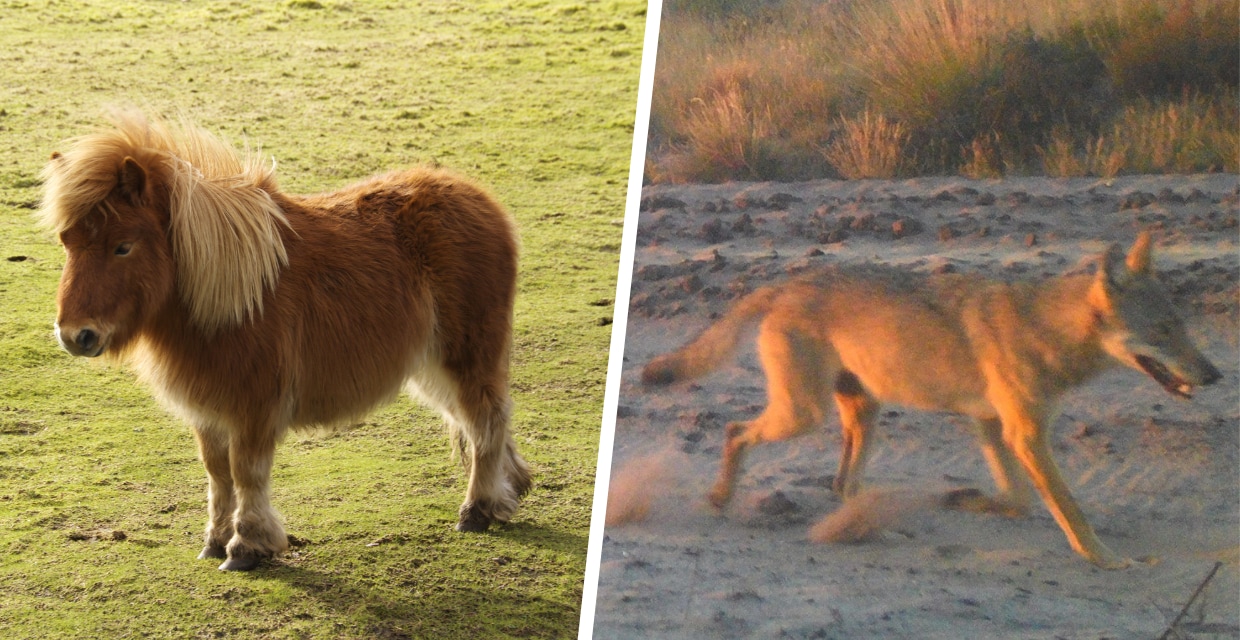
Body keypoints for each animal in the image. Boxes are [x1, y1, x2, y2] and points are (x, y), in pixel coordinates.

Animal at [39, 110, 531, 571]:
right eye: (67, 241)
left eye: (123, 246)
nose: (75, 335)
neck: (232, 294)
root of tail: (481, 199)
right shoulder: (209, 408)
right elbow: (217, 472)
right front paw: (215, 539)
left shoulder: (253, 405)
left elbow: (246, 472)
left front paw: (247, 545)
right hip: (430, 364)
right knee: (472, 418)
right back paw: (511, 488)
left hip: (467, 354)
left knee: (485, 417)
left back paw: (478, 509)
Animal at [642, 233, 1221, 568]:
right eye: (1164, 331)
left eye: (1183, 327)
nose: (1214, 374)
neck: (1047, 330)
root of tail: (791, 282)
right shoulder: (1025, 434)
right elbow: (1070, 509)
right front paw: (1105, 560)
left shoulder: (993, 426)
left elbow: (1018, 498)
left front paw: (965, 498)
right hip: (803, 416)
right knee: (735, 432)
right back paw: (721, 499)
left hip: (861, 413)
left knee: (842, 484)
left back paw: (874, 528)